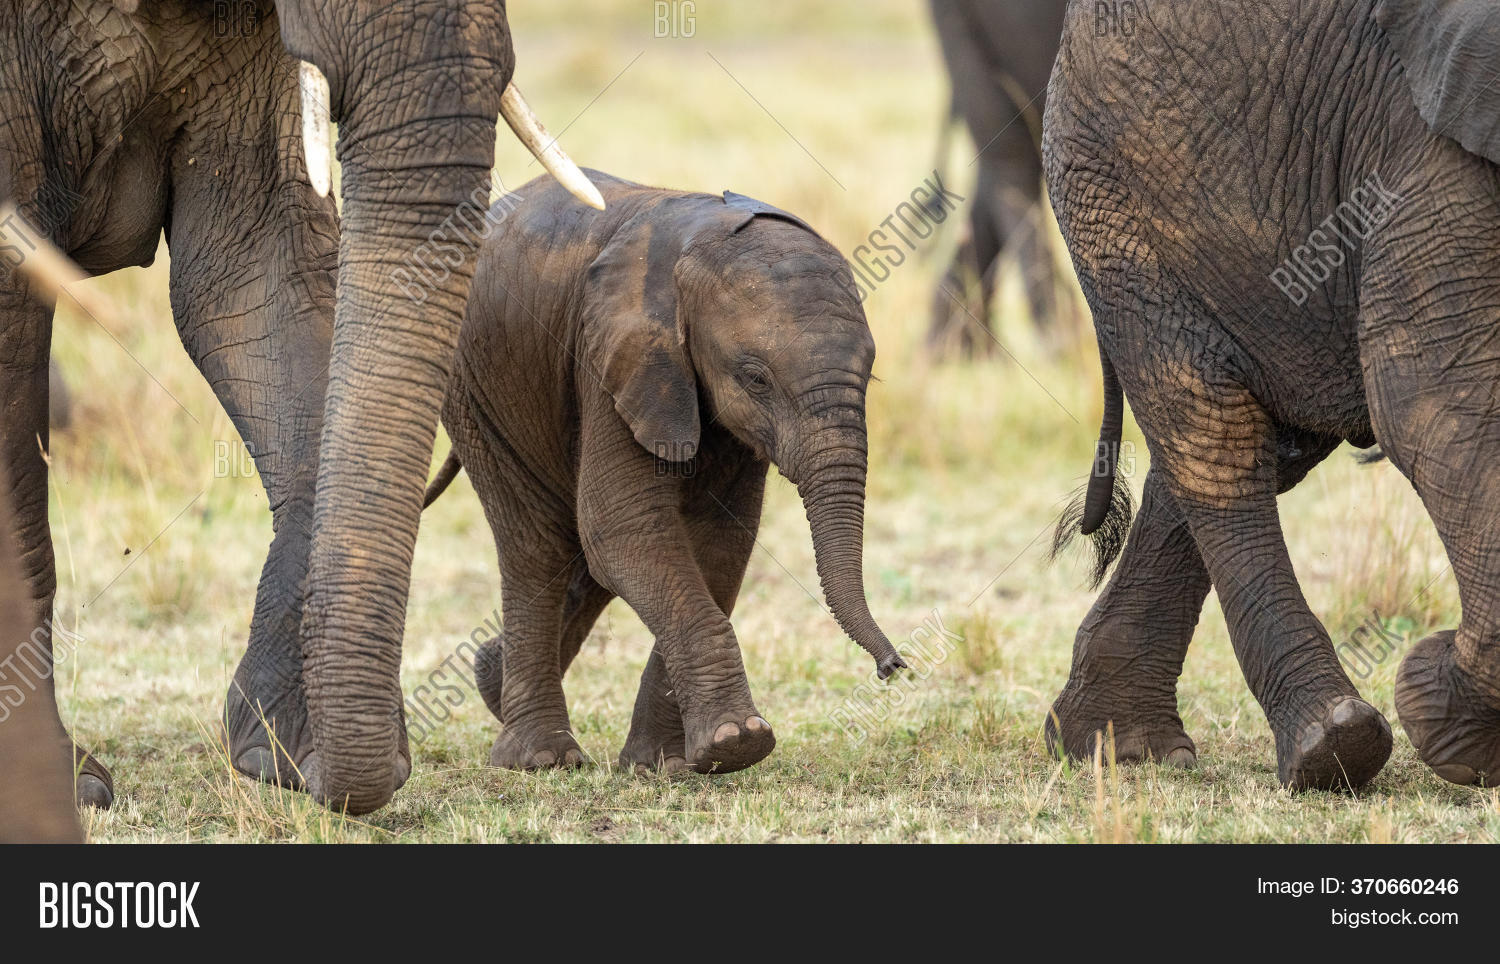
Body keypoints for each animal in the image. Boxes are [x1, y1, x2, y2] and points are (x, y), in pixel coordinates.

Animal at [421, 172, 906, 774]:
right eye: (756, 378)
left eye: (871, 375)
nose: (893, 668)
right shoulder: (613, 358)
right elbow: (626, 531)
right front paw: (739, 743)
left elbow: (717, 545)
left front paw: (671, 764)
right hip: (474, 384)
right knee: (537, 544)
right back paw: (541, 759)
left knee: (580, 556)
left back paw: (490, 682)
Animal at [1043, 0, 1500, 790]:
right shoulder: (1434, 140)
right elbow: (1435, 404)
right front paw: (1443, 713)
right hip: (1114, 184)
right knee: (1215, 433)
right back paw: (1332, 747)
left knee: (1257, 439)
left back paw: (1114, 749)